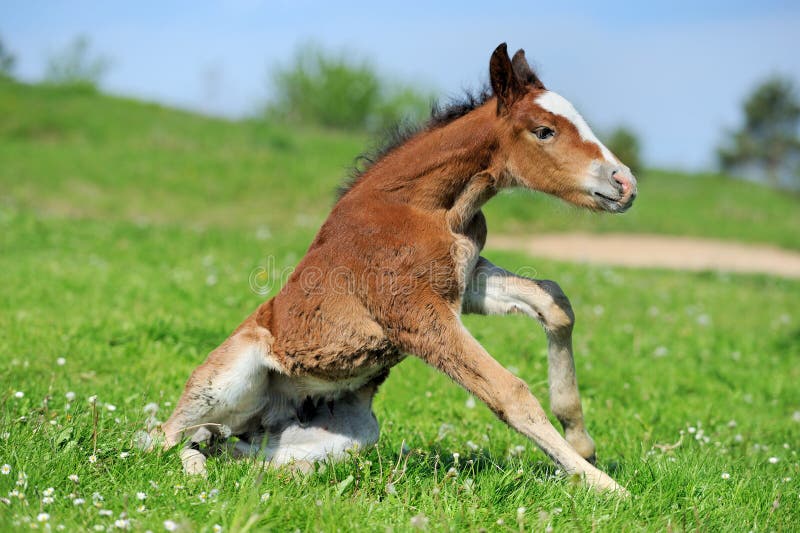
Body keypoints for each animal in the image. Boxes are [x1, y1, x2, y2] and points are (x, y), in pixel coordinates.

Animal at [149, 43, 637, 494]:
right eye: (544, 130)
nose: (625, 183)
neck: (423, 205)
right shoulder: (413, 313)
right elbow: (509, 392)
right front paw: (607, 487)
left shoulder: (463, 282)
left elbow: (554, 301)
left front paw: (582, 442)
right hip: (227, 377)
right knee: (162, 439)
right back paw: (195, 475)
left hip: (349, 435)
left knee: (234, 450)